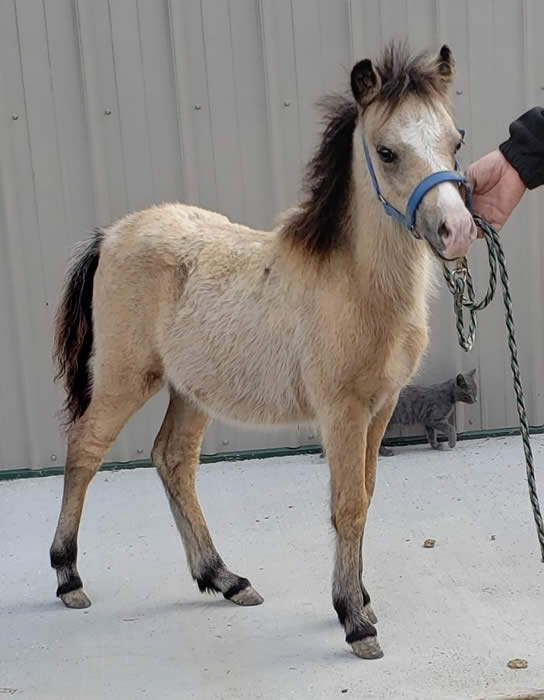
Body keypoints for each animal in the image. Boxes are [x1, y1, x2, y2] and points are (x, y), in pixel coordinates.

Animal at [50, 42, 476, 660]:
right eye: (387, 151)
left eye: (455, 141)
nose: (457, 231)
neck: (353, 285)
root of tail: (111, 235)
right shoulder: (342, 411)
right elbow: (348, 504)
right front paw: (356, 622)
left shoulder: (382, 408)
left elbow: (367, 495)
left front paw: (360, 599)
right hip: (125, 377)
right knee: (85, 449)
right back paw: (68, 578)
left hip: (191, 389)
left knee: (173, 460)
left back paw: (224, 578)